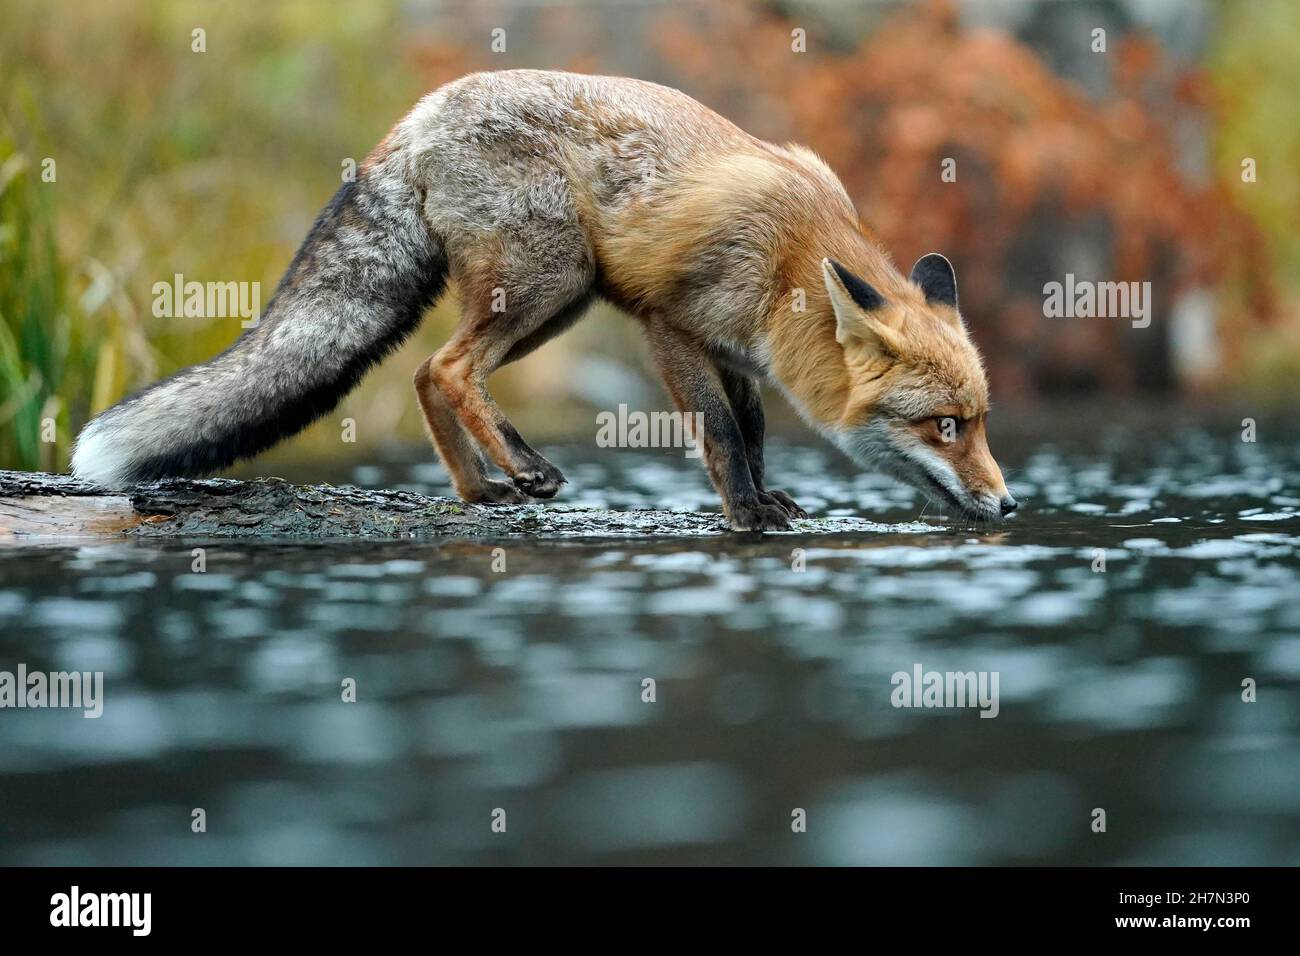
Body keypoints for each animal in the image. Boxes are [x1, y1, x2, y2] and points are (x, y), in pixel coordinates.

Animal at [71, 69, 1016, 531]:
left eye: (979, 422)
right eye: (945, 427)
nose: (1011, 505)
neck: (790, 257)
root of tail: (417, 114)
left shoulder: (740, 356)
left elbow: (750, 430)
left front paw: (766, 497)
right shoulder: (669, 327)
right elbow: (719, 434)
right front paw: (745, 513)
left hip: (557, 301)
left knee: (425, 371)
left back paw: (476, 491)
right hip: (552, 281)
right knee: (454, 368)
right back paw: (522, 467)